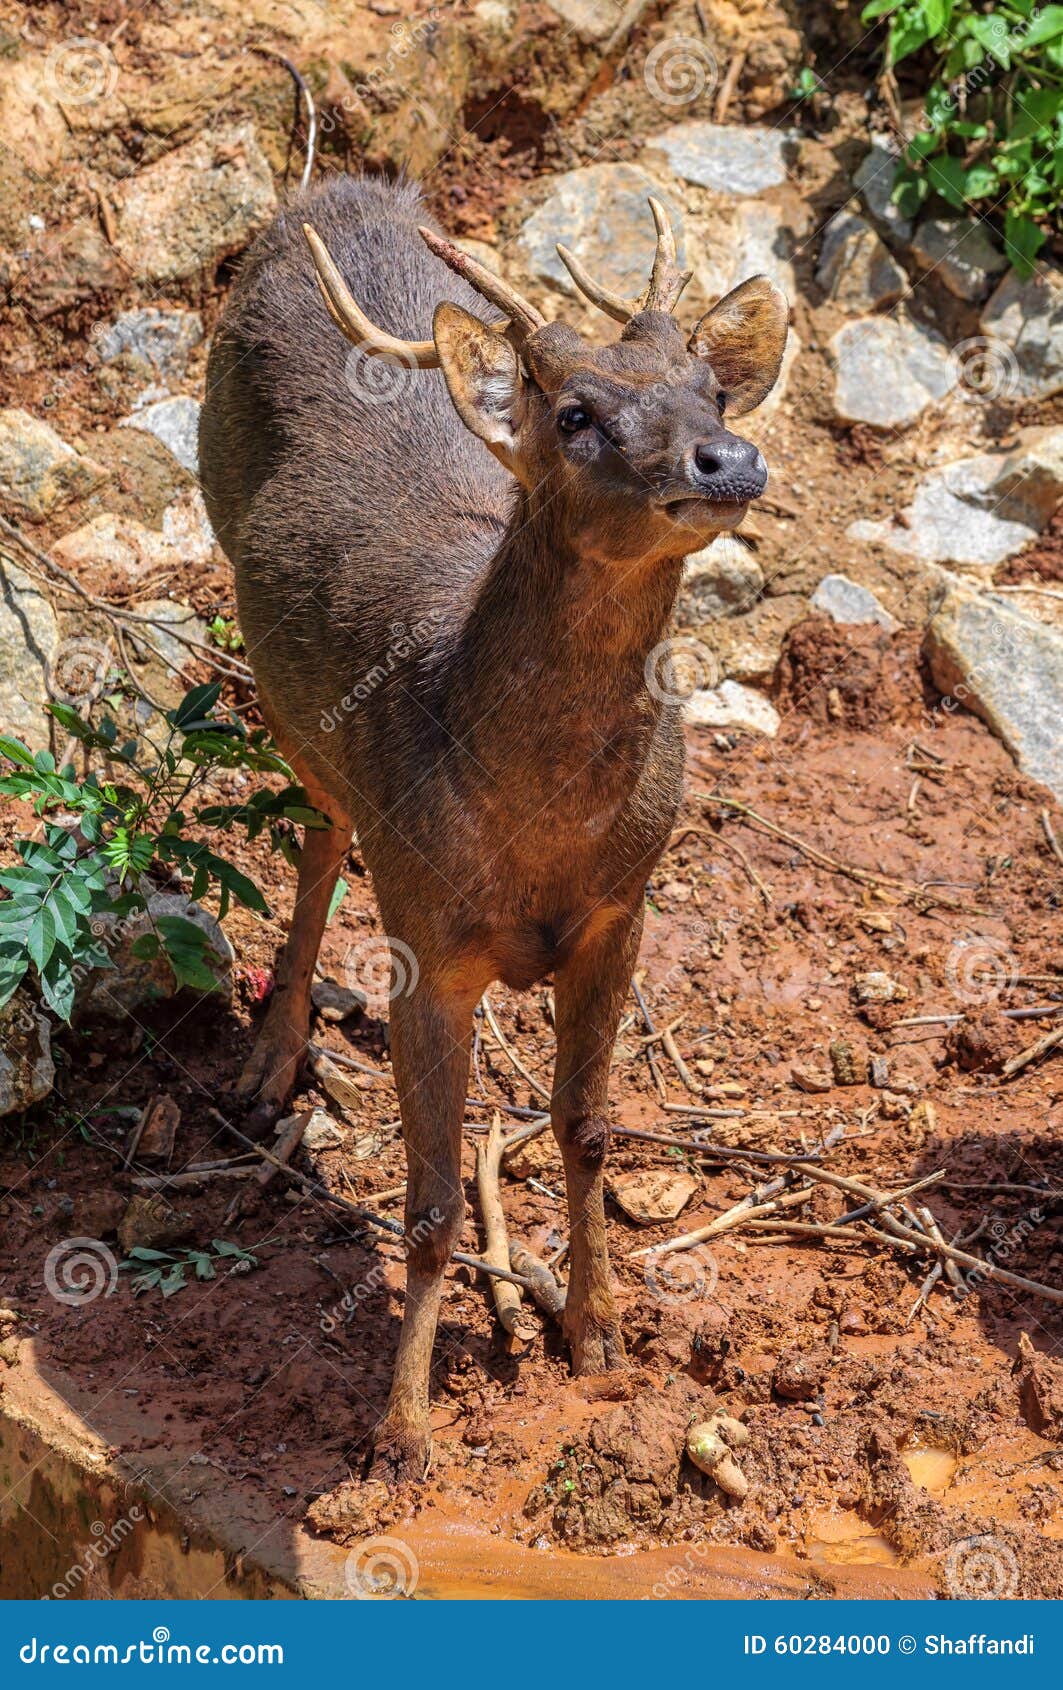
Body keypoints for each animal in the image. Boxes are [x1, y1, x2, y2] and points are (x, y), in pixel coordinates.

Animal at [199, 173, 787, 1484]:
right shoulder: (428, 931)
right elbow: (424, 1204)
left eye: (712, 388)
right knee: (317, 834)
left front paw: (599, 1333)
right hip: (272, 659)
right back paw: (269, 1059)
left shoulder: (625, 909)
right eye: (573, 412)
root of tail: (330, 188)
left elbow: (587, 1128)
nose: (726, 457)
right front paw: (399, 1433)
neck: (536, 830)